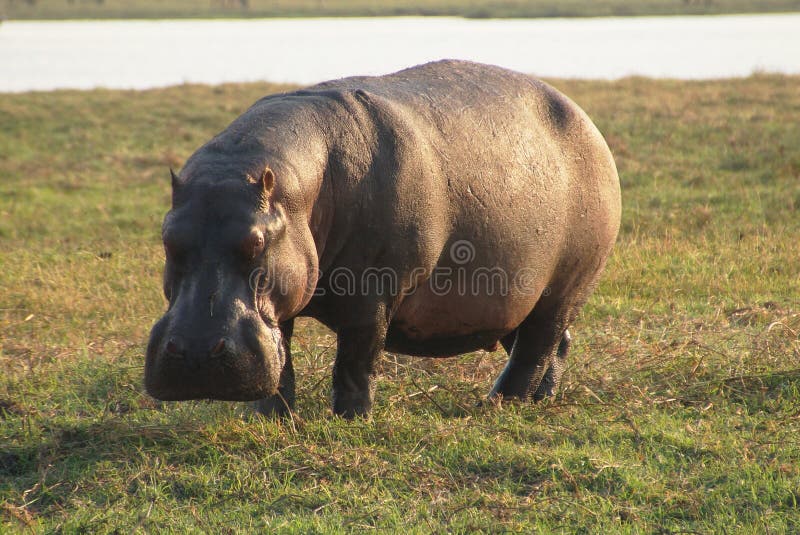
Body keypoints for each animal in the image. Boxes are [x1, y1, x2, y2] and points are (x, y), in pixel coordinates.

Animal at [145, 60, 621, 418]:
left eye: (257, 243)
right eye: (169, 239)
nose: (197, 352)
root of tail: (585, 120)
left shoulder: (372, 293)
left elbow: (356, 360)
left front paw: (350, 419)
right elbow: (282, 364)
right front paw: (272, 419)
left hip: (564, 287)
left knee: (537, 345)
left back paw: (498, 404)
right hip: (517, 297)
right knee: (551, 343)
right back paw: (541, 400)